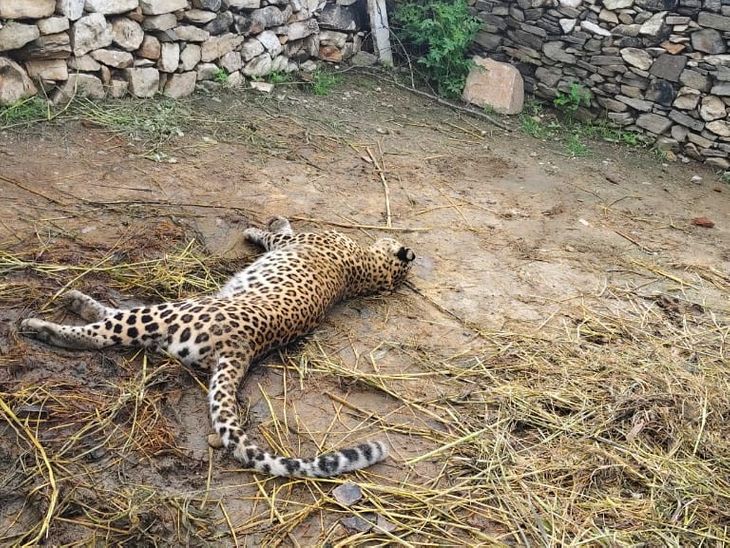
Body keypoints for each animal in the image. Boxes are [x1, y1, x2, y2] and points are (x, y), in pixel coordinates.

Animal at [19, 216, 415, 478]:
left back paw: (40, 326)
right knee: (116, 322)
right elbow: (281, 231)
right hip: (174, 322)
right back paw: (78, 302)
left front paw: (259, 227)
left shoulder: (289, 243)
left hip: (175, 310)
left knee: (104, 333)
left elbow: (276, 234)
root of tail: (244, 349)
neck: (371, 271)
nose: (387, 236)